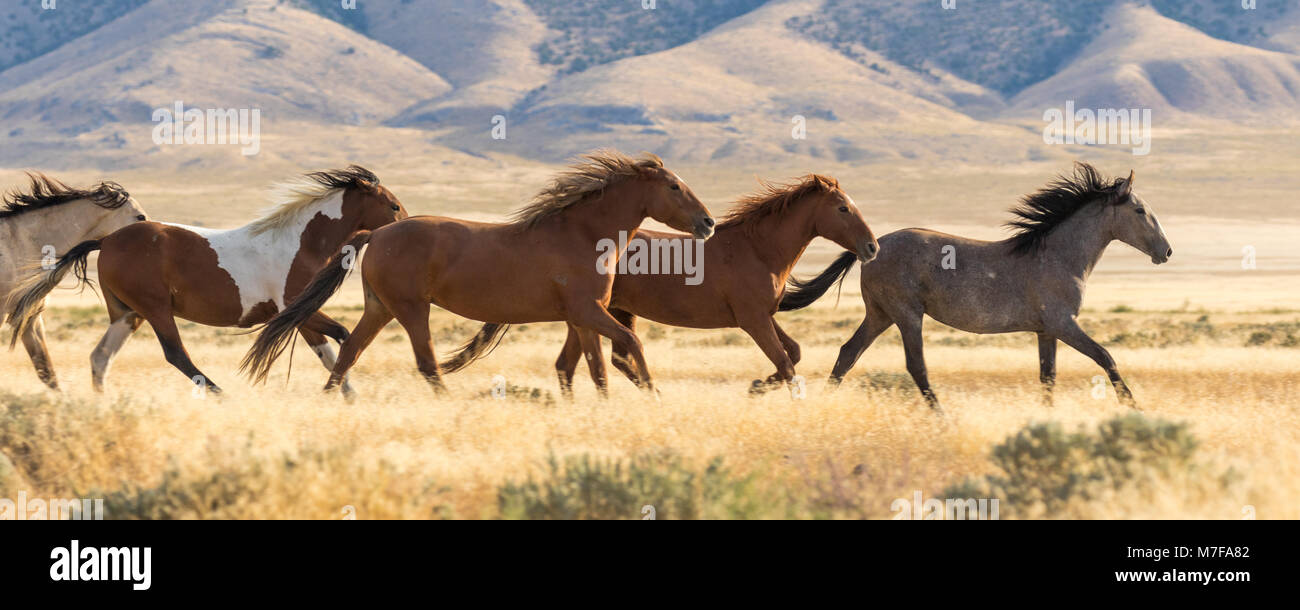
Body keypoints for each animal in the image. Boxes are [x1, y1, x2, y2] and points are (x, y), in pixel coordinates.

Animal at [241, 151, 715, 397]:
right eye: (674, 186)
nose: (708, 223)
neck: (582, 233)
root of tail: (376, 234)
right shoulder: (588, 312)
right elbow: (627, 345)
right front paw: (652, 395)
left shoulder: (582, 318)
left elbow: (590, 366)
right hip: (411, 309)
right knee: (426, 363)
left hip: (380, 309)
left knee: (350, 351)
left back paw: (332, 400)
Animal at [507, 174, 876, 398]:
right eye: (843, 208)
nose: (872, 247)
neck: (758, 249)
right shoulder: (753, 320)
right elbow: (785, 363)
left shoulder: (765, 316)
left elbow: (793, 353)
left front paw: (756, 385)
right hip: (599, 312)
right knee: (603, 359)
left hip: (601, 313)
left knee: (585, 362)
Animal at [779, 163, 1171, 411]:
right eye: (1140, 211)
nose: (1166, 251)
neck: (1059, 255)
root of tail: (871, 246)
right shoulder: (1064, 324)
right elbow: (1106, 357)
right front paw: (1133, 405)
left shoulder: (1046, 331)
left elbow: (1048, 377)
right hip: (906, 315)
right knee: (915, 366)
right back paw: (941, 416)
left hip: (880, 315)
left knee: (848, 354)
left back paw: (823, 403)